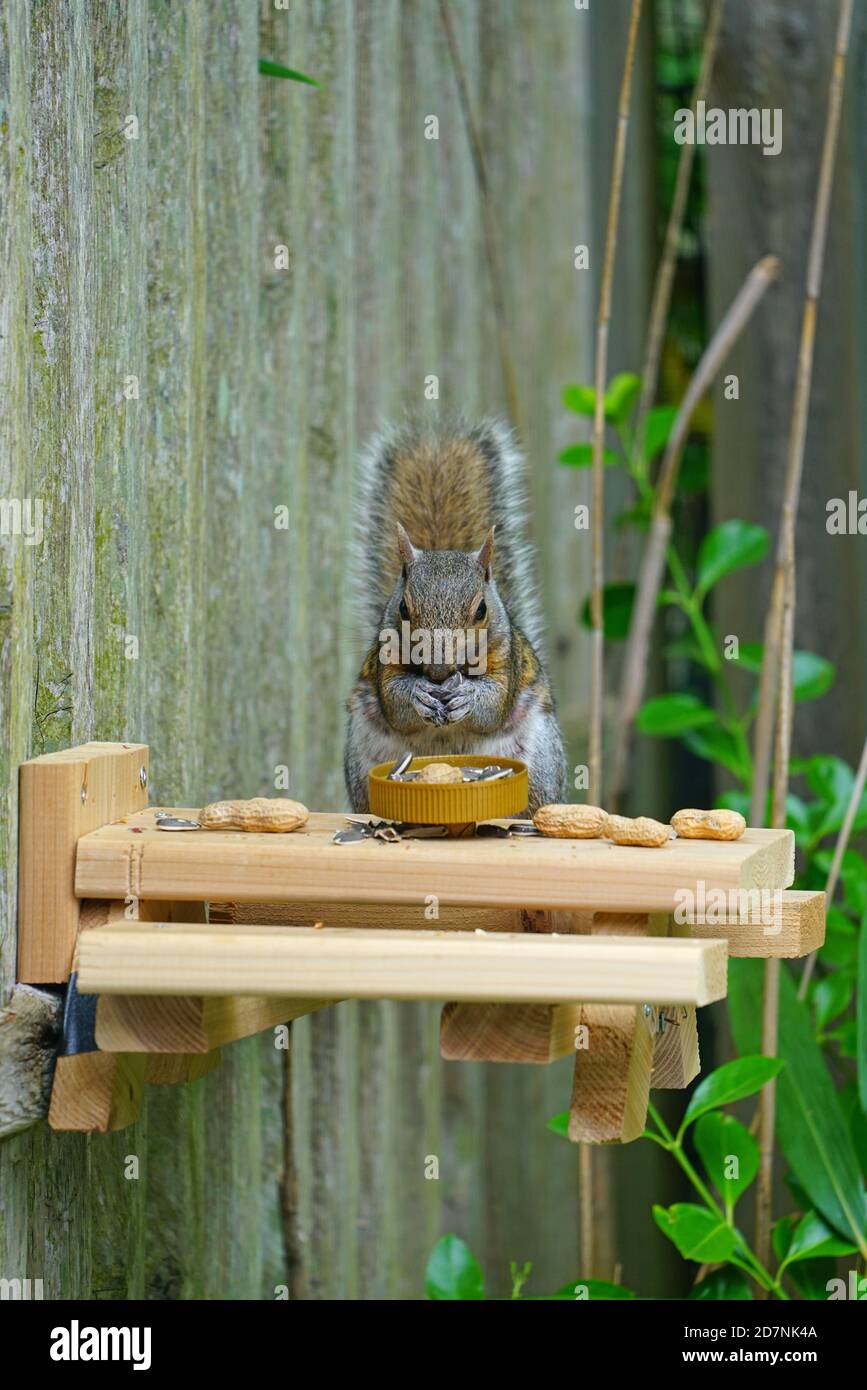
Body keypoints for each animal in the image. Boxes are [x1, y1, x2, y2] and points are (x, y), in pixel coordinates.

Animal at [344, 418, 567, 813]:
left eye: (481, 610)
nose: (437, 671)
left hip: (539, 764)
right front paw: (418, 693)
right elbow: (395, 702)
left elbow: (494, 703)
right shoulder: (385, 658)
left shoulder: (506, 657)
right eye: (403, 608)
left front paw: (469, 697)